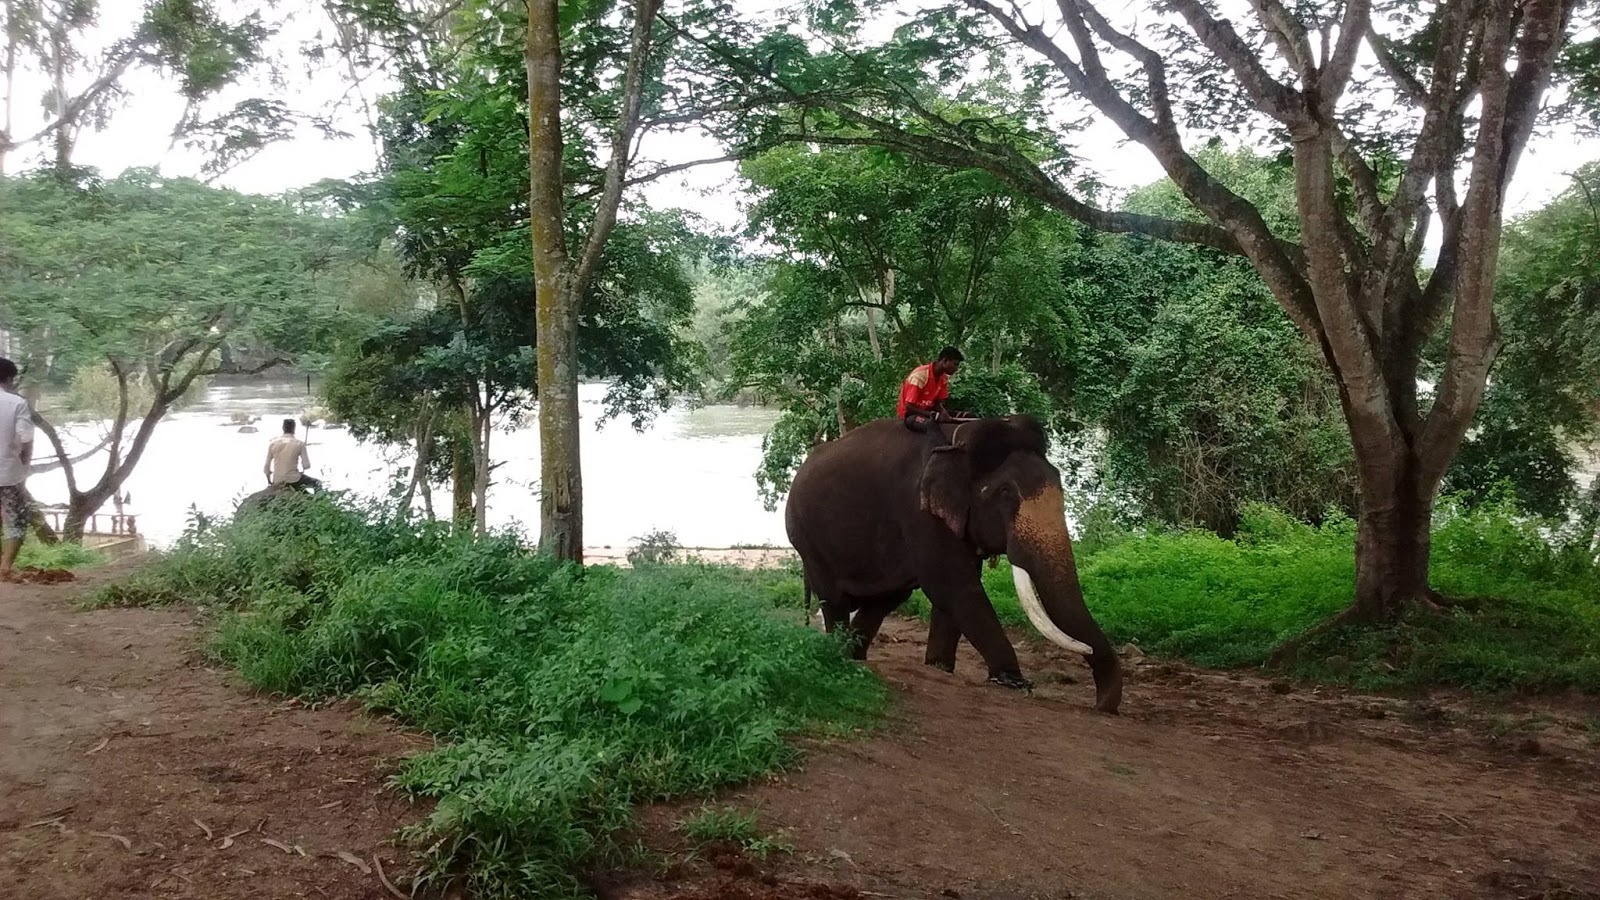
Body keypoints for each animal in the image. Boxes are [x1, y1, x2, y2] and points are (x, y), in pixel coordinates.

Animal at [785, 414, 1122, 713]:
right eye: (1005, 494)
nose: (1102, 706)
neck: (961, 439)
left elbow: (954, 591)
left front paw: (939, 667)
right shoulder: (920, 511)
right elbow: (953, 585)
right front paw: (1013, 681)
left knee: (886, 599)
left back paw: (853, 654)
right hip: (807, 537)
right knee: (835, 599)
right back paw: (838, 653)